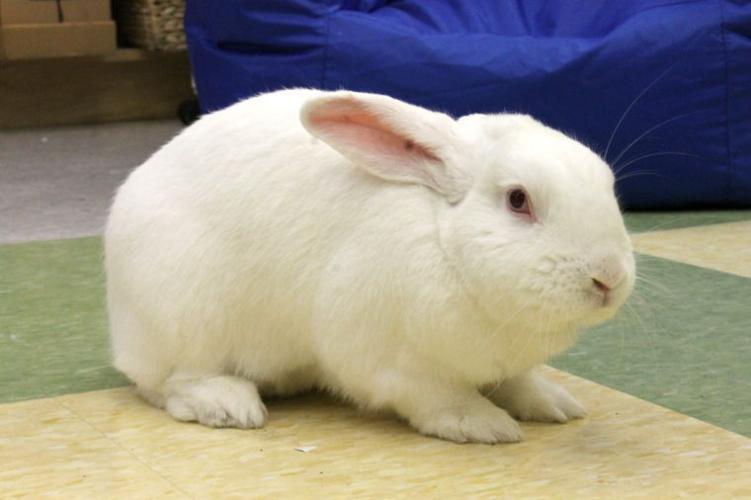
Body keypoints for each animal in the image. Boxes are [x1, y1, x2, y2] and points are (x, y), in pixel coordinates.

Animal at [105, 88, 635, 444]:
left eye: (608, 184)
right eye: (518, 200)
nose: (609, 276)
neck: (446, 245)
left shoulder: (503, 364)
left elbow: (520, 382)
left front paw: (554, 405)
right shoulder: (393, 362)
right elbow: (438, 398)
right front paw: (483, 425)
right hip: (186, 320)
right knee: (168, 384)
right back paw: (230, 405)